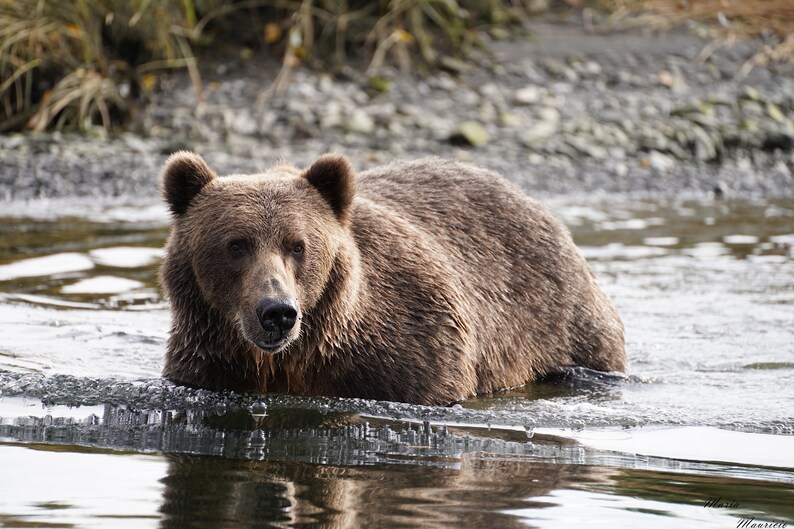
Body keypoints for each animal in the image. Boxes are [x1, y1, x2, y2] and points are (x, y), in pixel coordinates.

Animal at [159, 152, 625, 405]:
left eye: (298, 245)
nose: (277, 313)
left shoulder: (413, 354)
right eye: (236, 244)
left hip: (561, 323)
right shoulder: (209, 363)